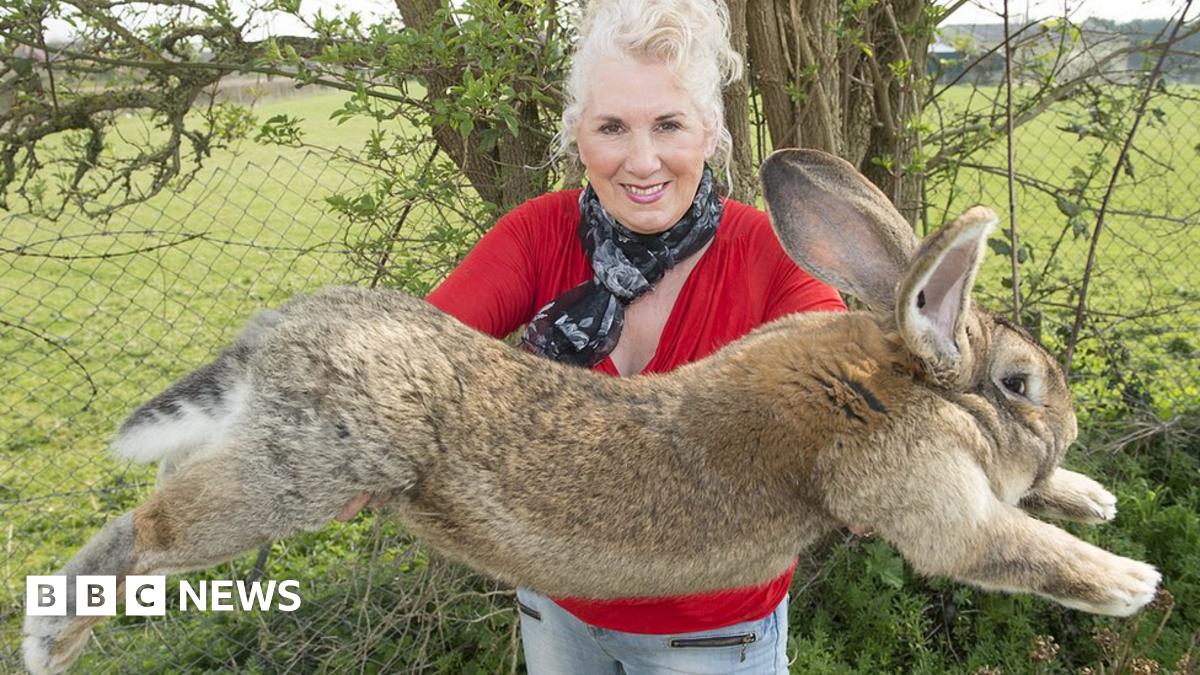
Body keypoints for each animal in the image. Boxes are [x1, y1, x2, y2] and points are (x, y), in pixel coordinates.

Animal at [23, 149, 1159, 674]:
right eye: (1020, 385)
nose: (1066, 426)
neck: (897, 380)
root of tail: (275, 336)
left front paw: (1093, 497)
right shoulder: (929, 500)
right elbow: (1010, 547)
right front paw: (1129, 581)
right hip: (303, 473)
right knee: (153, 525)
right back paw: (51, 639)